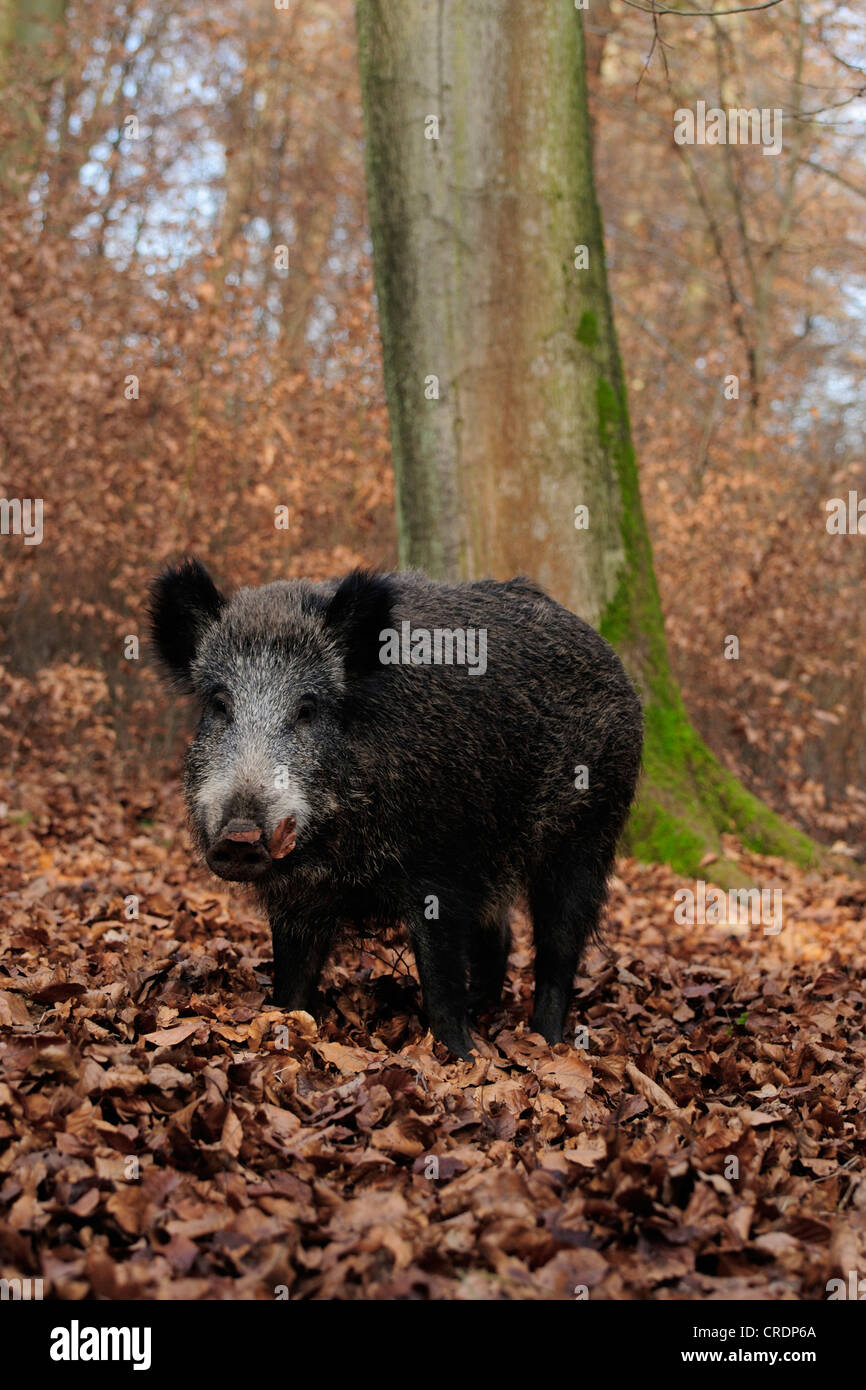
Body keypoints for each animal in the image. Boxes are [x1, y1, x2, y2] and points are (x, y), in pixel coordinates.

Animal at [148, 560, 643, 1058]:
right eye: (219, 704)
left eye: (307, 708)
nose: (239, 836)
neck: (344, 852)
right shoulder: (298, 895)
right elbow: (292, 980)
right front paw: (284, 1026)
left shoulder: (442, 870)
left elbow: (441, 984)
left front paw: (460, 1056)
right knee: (500, 933)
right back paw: (485, 1011)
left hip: (589, 830)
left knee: (560, 944)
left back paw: (548, 1041)